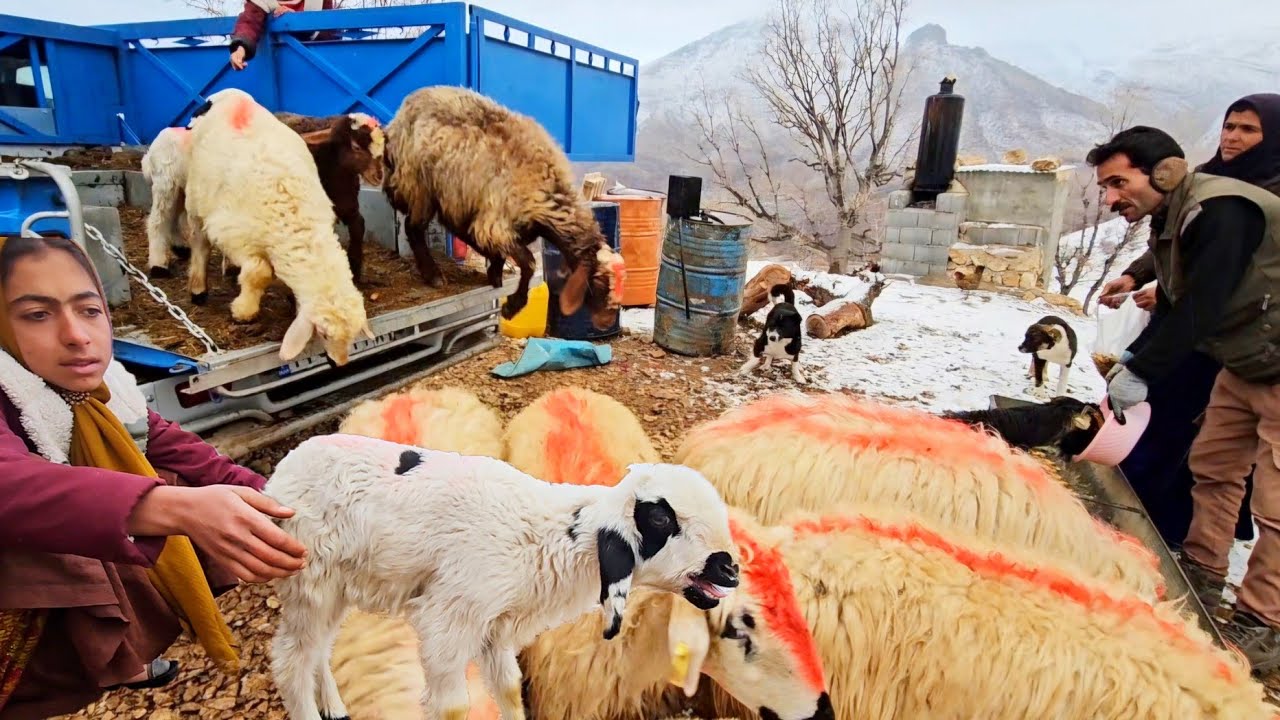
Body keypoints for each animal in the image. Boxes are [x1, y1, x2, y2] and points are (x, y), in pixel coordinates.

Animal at [183, 87, 373, 366]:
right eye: (323, 334)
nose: (338, 363)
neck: (297, 225)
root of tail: (228, 94)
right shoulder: (235, 236)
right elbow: (259, 272)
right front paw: (243, 311)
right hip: (196, 198)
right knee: (199, 241)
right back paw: (198, 288)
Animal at [265, 433, 740, 720]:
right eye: (660, 517)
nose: (730, 569)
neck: (549, 541)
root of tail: (283, 468)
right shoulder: (449, 620)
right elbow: (453, 707)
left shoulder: (496, 629)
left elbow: (510, 690)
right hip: (310, 578)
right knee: (291, 661)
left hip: (335, 585)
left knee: (316, 650)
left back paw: (334, 705)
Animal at [382, 85, 626, 329]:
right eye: (600, 283)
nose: (607, 323)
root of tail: (403, 110)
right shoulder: (497, 224)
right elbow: (528, 263)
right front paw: (512, 306)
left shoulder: (486, 220)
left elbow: (492, 248)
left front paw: (495, 274)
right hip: (419, 185)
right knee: (413, 228)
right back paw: (433, 275)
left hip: (451, 194)